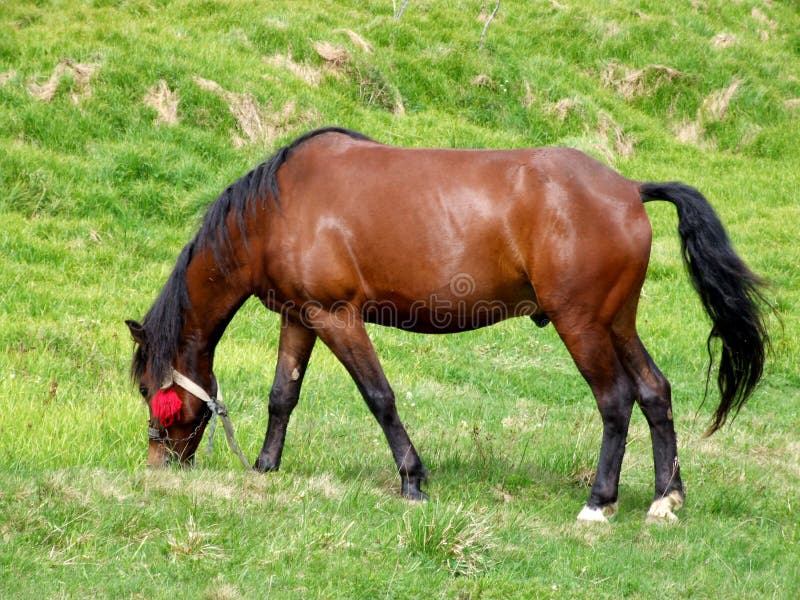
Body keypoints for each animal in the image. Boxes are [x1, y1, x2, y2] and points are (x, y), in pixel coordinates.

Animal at [127, 127, 768, 523]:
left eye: (150, 392)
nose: (158, 469)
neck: (278, 208)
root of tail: (629, 190)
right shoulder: (301, 318)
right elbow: (283, 395)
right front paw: (265, 469)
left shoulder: (338, 317)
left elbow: (379, 397)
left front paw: (412, 480)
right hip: (617, 321)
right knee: (654, 391)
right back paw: (666, 498)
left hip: (582, 323)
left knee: (615, 401)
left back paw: (598, 502)